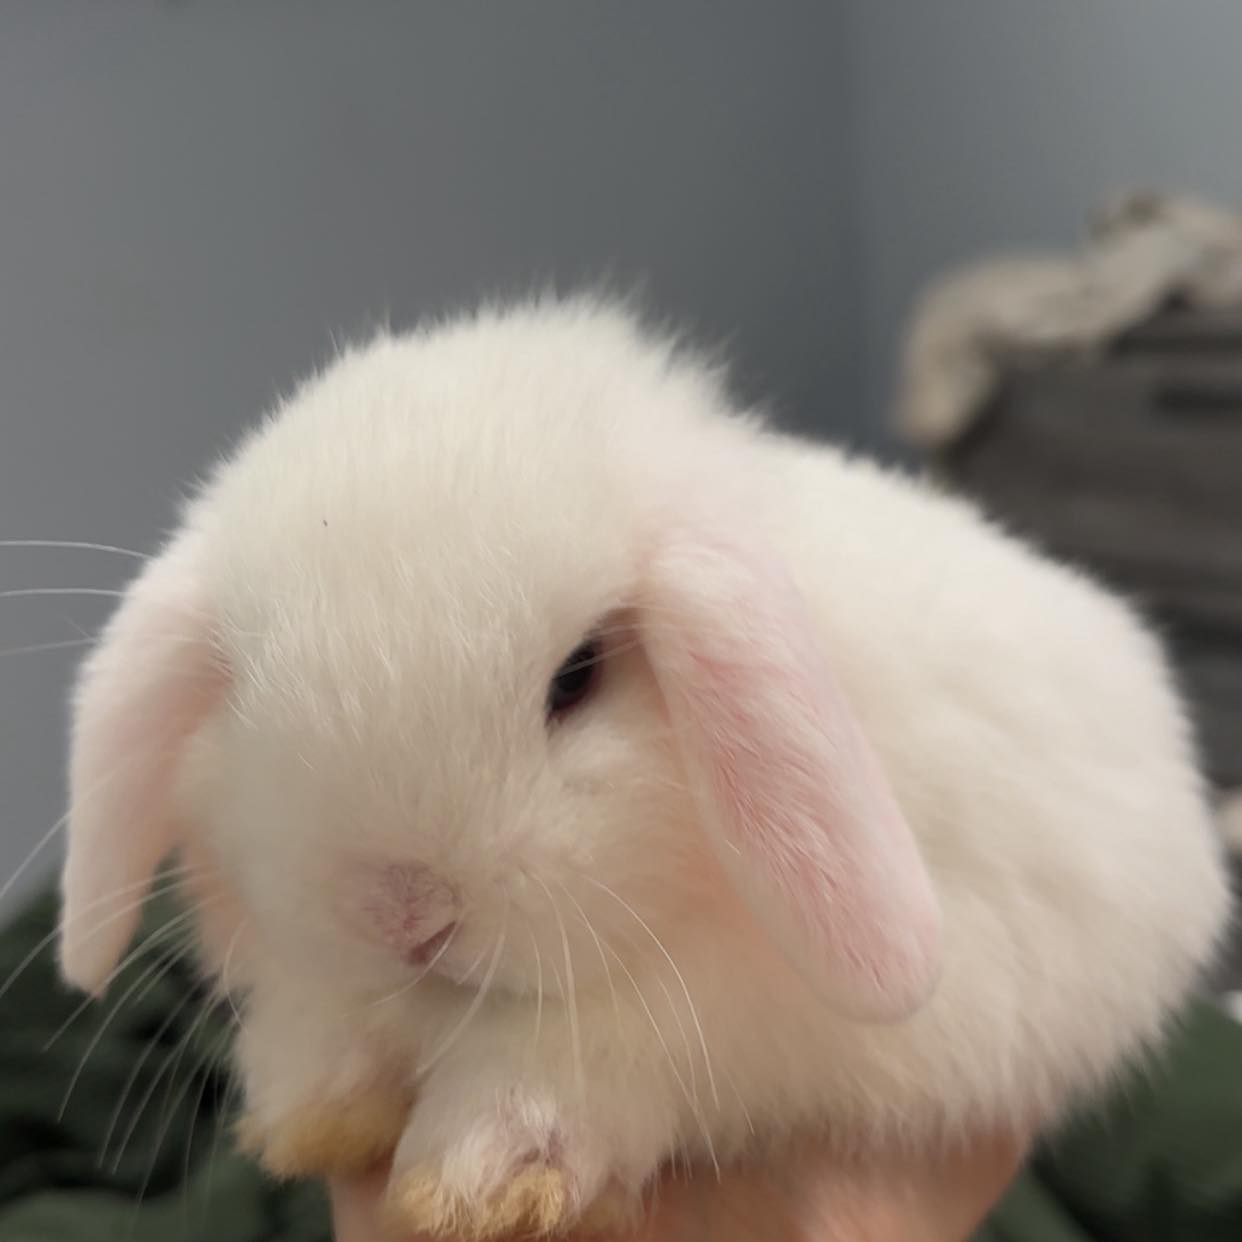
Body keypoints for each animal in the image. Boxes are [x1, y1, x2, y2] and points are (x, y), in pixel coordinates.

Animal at [57, 295, 1230, 1238]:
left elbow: (593, 1049)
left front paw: (484, 1178)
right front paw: (316, 1113)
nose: (408, 913)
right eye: (242, 682)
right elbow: (321, 1012)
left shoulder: (749, 1016)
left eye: (577, 676)